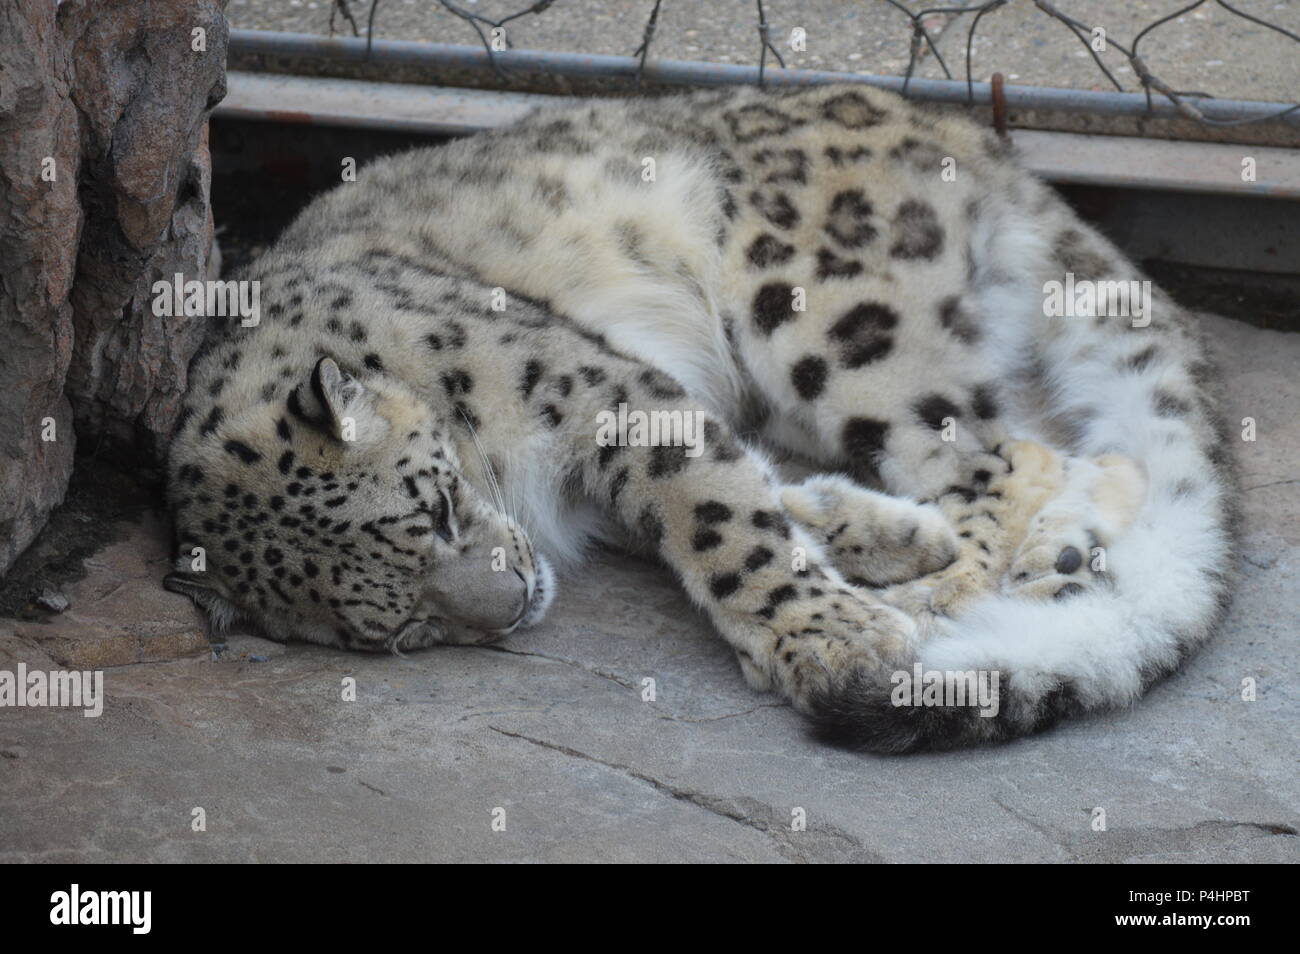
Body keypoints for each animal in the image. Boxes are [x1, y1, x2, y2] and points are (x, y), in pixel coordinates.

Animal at [165, 84, 1238, 752]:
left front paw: (836, 642)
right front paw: (864, 540)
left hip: (829, 325)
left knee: (999, 455)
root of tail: (966, 131)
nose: (507, 606)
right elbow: (746, 498)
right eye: (391, 633)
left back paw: (944, 600)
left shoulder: (597, 388)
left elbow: (718, 520)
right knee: (1077, 457)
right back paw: (1048, 558)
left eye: (436, 510)